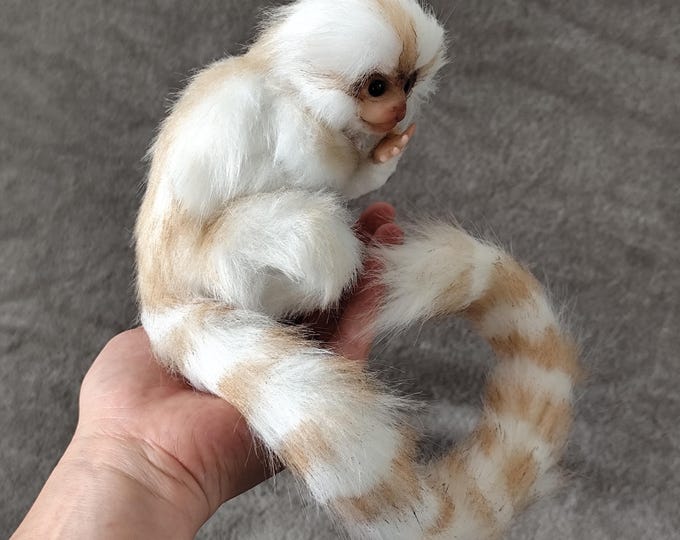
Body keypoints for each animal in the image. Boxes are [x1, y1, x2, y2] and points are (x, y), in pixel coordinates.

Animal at [135, 1, 581, 538]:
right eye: (377, 87)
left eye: (408, 83)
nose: (398, 111)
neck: (282, 75)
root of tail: (160, 299)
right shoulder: (290, 122)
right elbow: (322, 170)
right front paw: (377, 158)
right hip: (224, 264)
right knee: (316, 237)